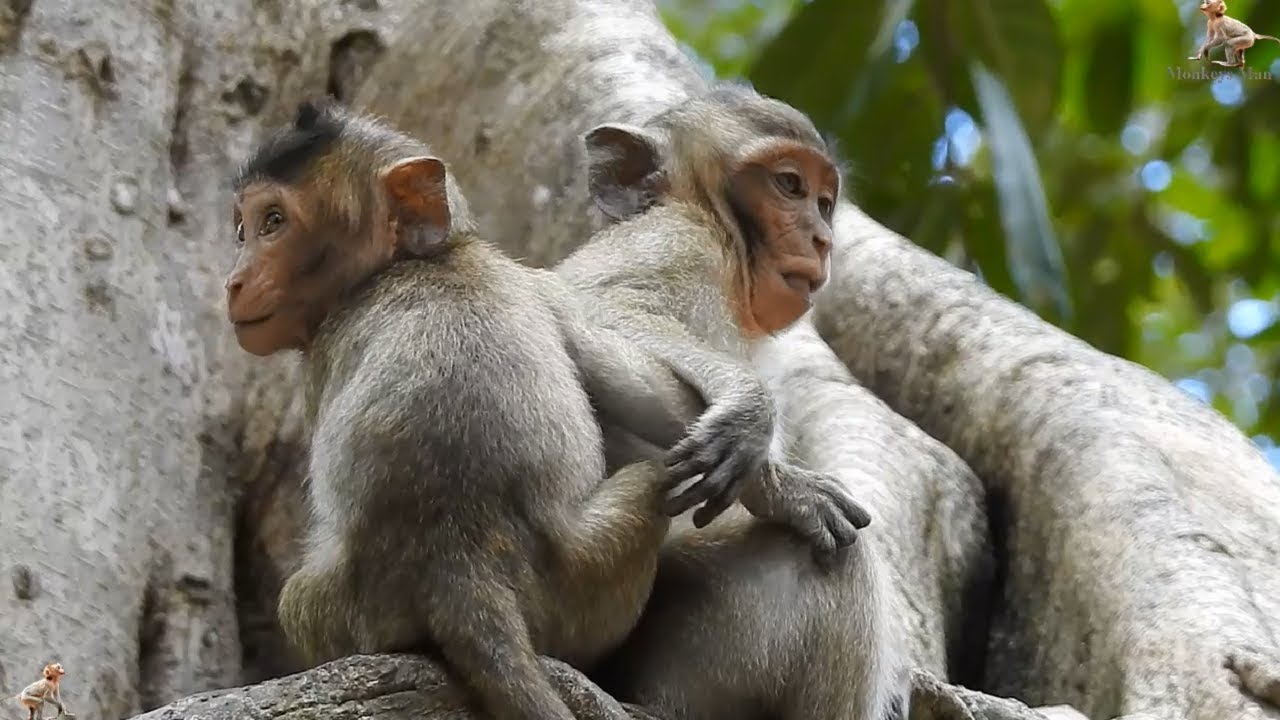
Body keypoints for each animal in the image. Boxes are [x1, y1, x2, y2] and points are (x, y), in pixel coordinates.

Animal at [558, 84, 908, 720]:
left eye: (825, 202)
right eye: (789, 185)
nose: (823, 240)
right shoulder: (678, 241)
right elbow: (582, 304)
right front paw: (775, 470)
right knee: (837, 561)